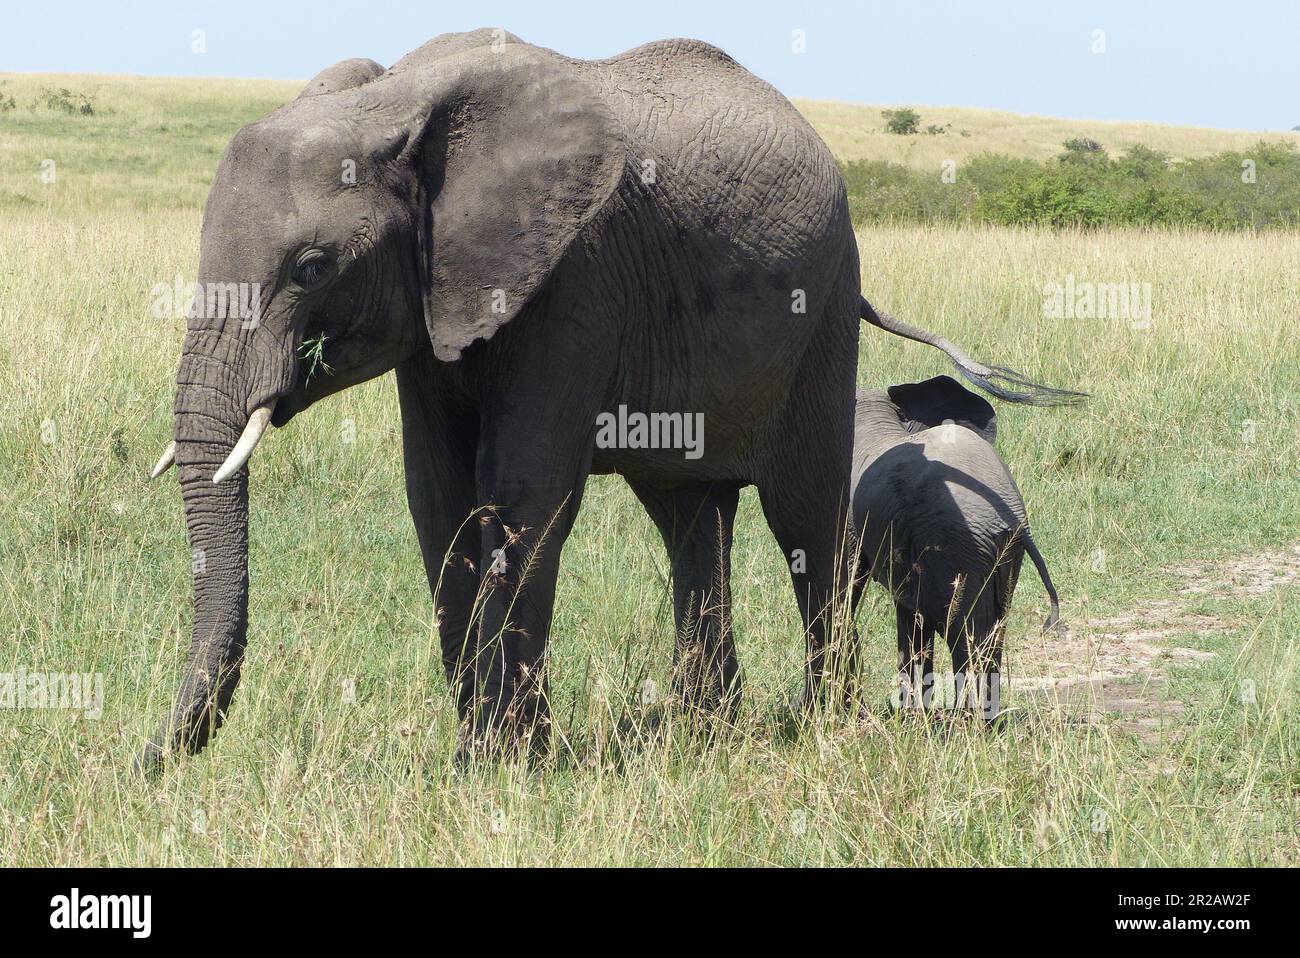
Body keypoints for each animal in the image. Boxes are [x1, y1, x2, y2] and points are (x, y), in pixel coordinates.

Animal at [850, 376, 1063, 721]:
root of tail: (1013, 517)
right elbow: (910, 616)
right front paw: (912, 719)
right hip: (1001, 553)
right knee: (993, 633)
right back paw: (986, 724)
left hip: (957, 547)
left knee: (963, 635)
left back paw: (965, 724)